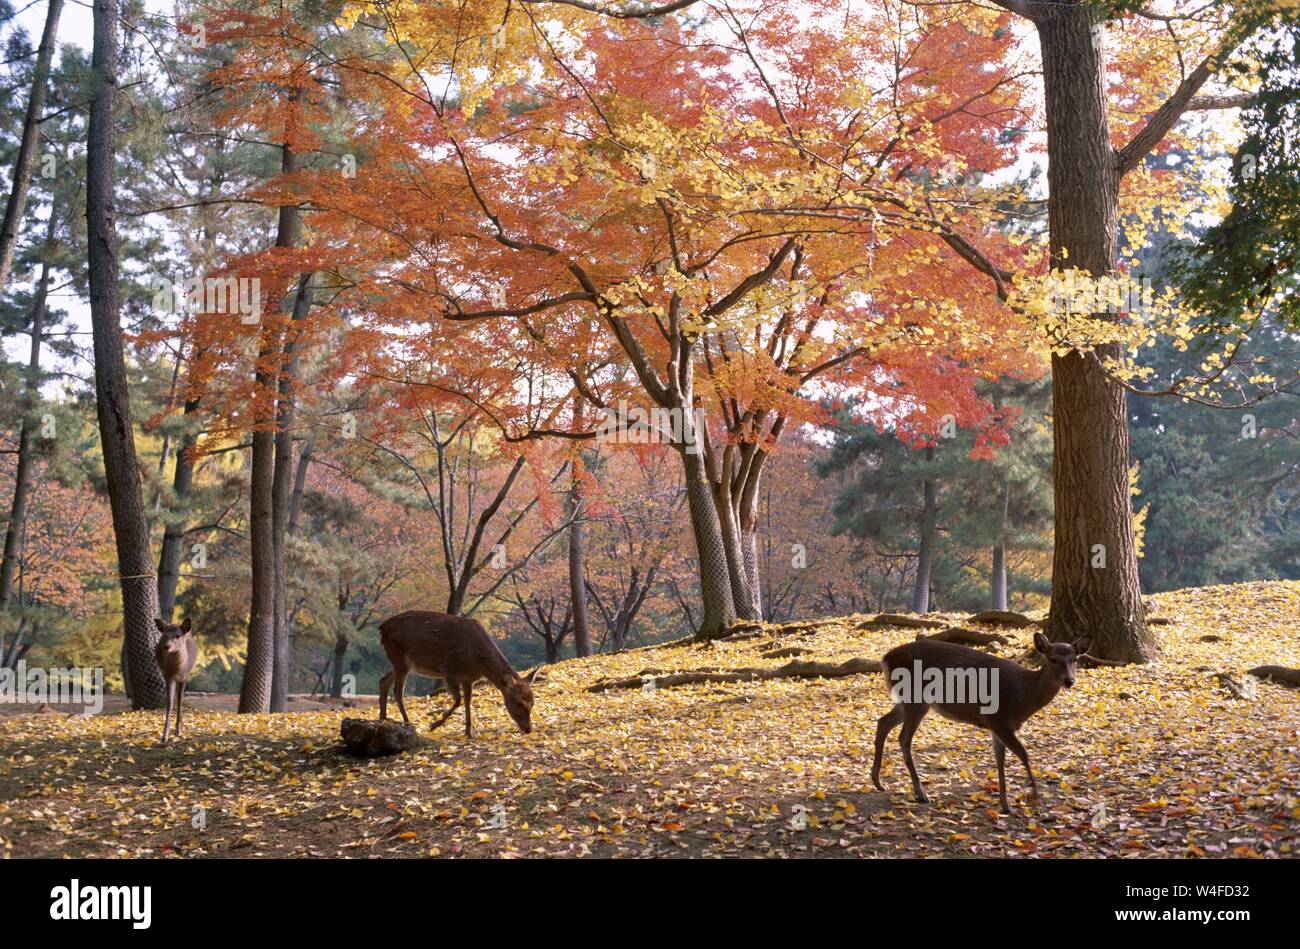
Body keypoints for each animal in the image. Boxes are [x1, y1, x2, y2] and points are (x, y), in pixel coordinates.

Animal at [154, 617, 198, 745]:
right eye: (165, 635)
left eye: (178, 635)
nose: (166, 646)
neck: (177, 669)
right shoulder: (168, 678)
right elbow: (169, 704)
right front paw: (164, 736)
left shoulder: (184, 677)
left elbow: (179, 701)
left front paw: (178, 731)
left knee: (180, 699)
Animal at [377, 610, 539, 739]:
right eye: (519, 703)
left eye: (533, 703)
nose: (528, 729)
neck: (479, 662)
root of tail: (382, 628)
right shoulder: (449, 670)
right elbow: (459, 700)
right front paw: (434, 725)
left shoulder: (469, 679)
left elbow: (467, 701)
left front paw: (470, 732)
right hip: (399, 657)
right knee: (397, 691)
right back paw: (407, 722)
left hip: (403, 663)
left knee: (383, 681)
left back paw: (383, 719)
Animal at [871, 631, 1091, 813]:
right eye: (1053, 659)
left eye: (1075, 659)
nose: (1069, 681)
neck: (1022, 698)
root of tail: (885, 658)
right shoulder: (999, 719)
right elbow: (1023, 754)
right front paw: (1036, 797)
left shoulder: (997, 726)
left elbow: (1000, 760)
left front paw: (1006, 804)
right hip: (915, 698)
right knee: (903, 738)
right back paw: (921, 792)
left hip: (908, 701)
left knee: (883, 722)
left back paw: (878, 781)